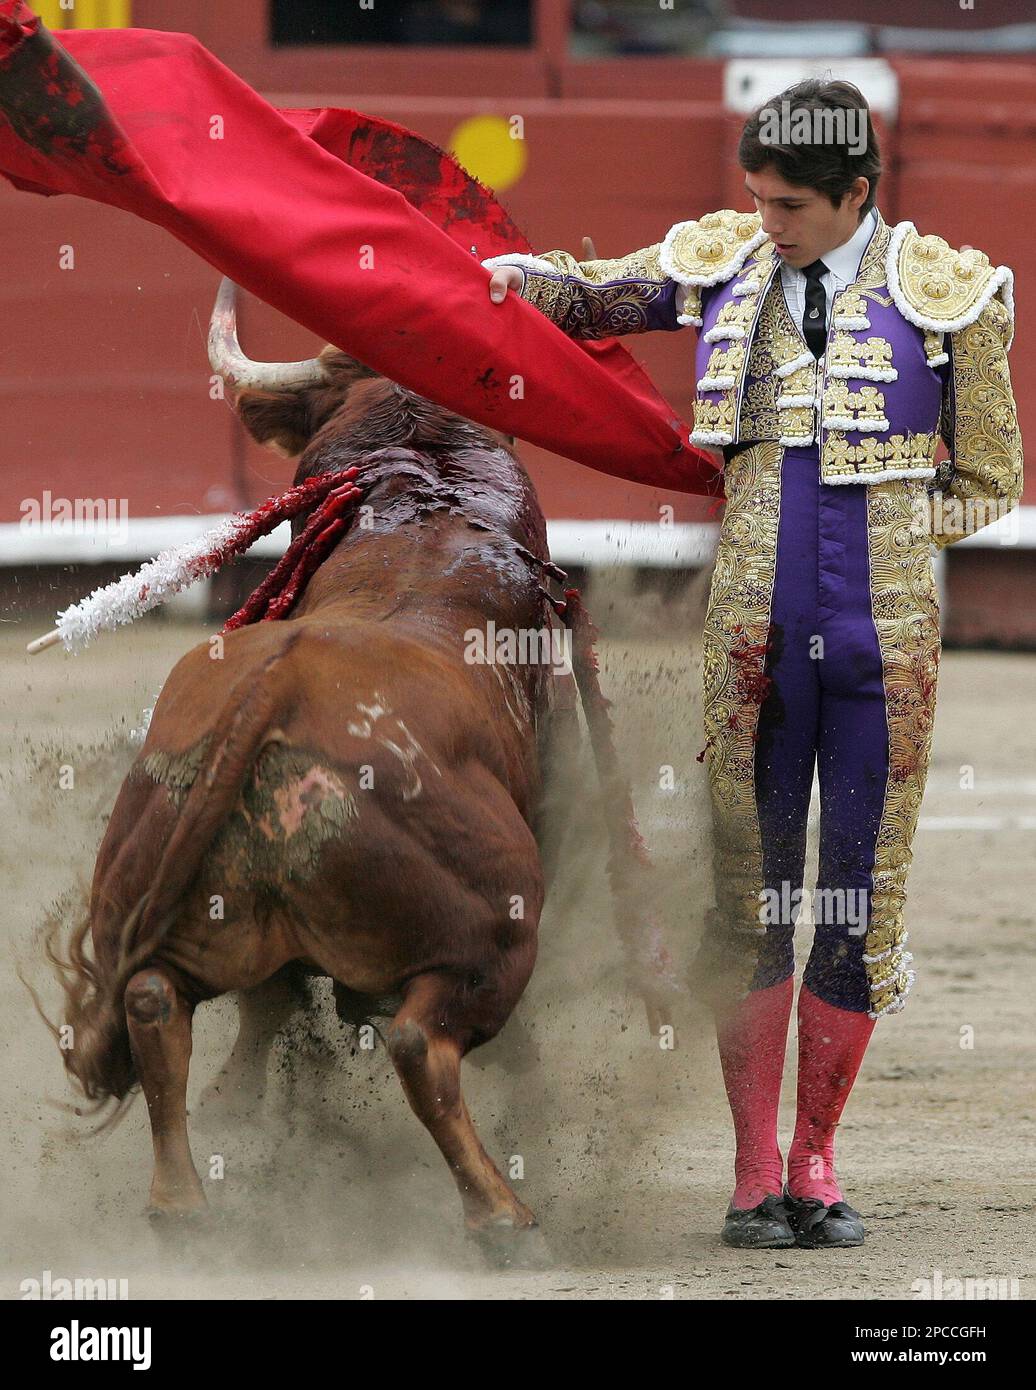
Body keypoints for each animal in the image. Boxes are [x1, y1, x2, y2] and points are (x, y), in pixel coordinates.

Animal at [45, 280, 586, 1265]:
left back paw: (182, 1204)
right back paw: (503, 1215)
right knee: (422, 1044)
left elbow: (272, 1007)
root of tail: (274, 690)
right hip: (496, 931)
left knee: (155, 1000)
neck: (418, 496)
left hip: (170, 884)